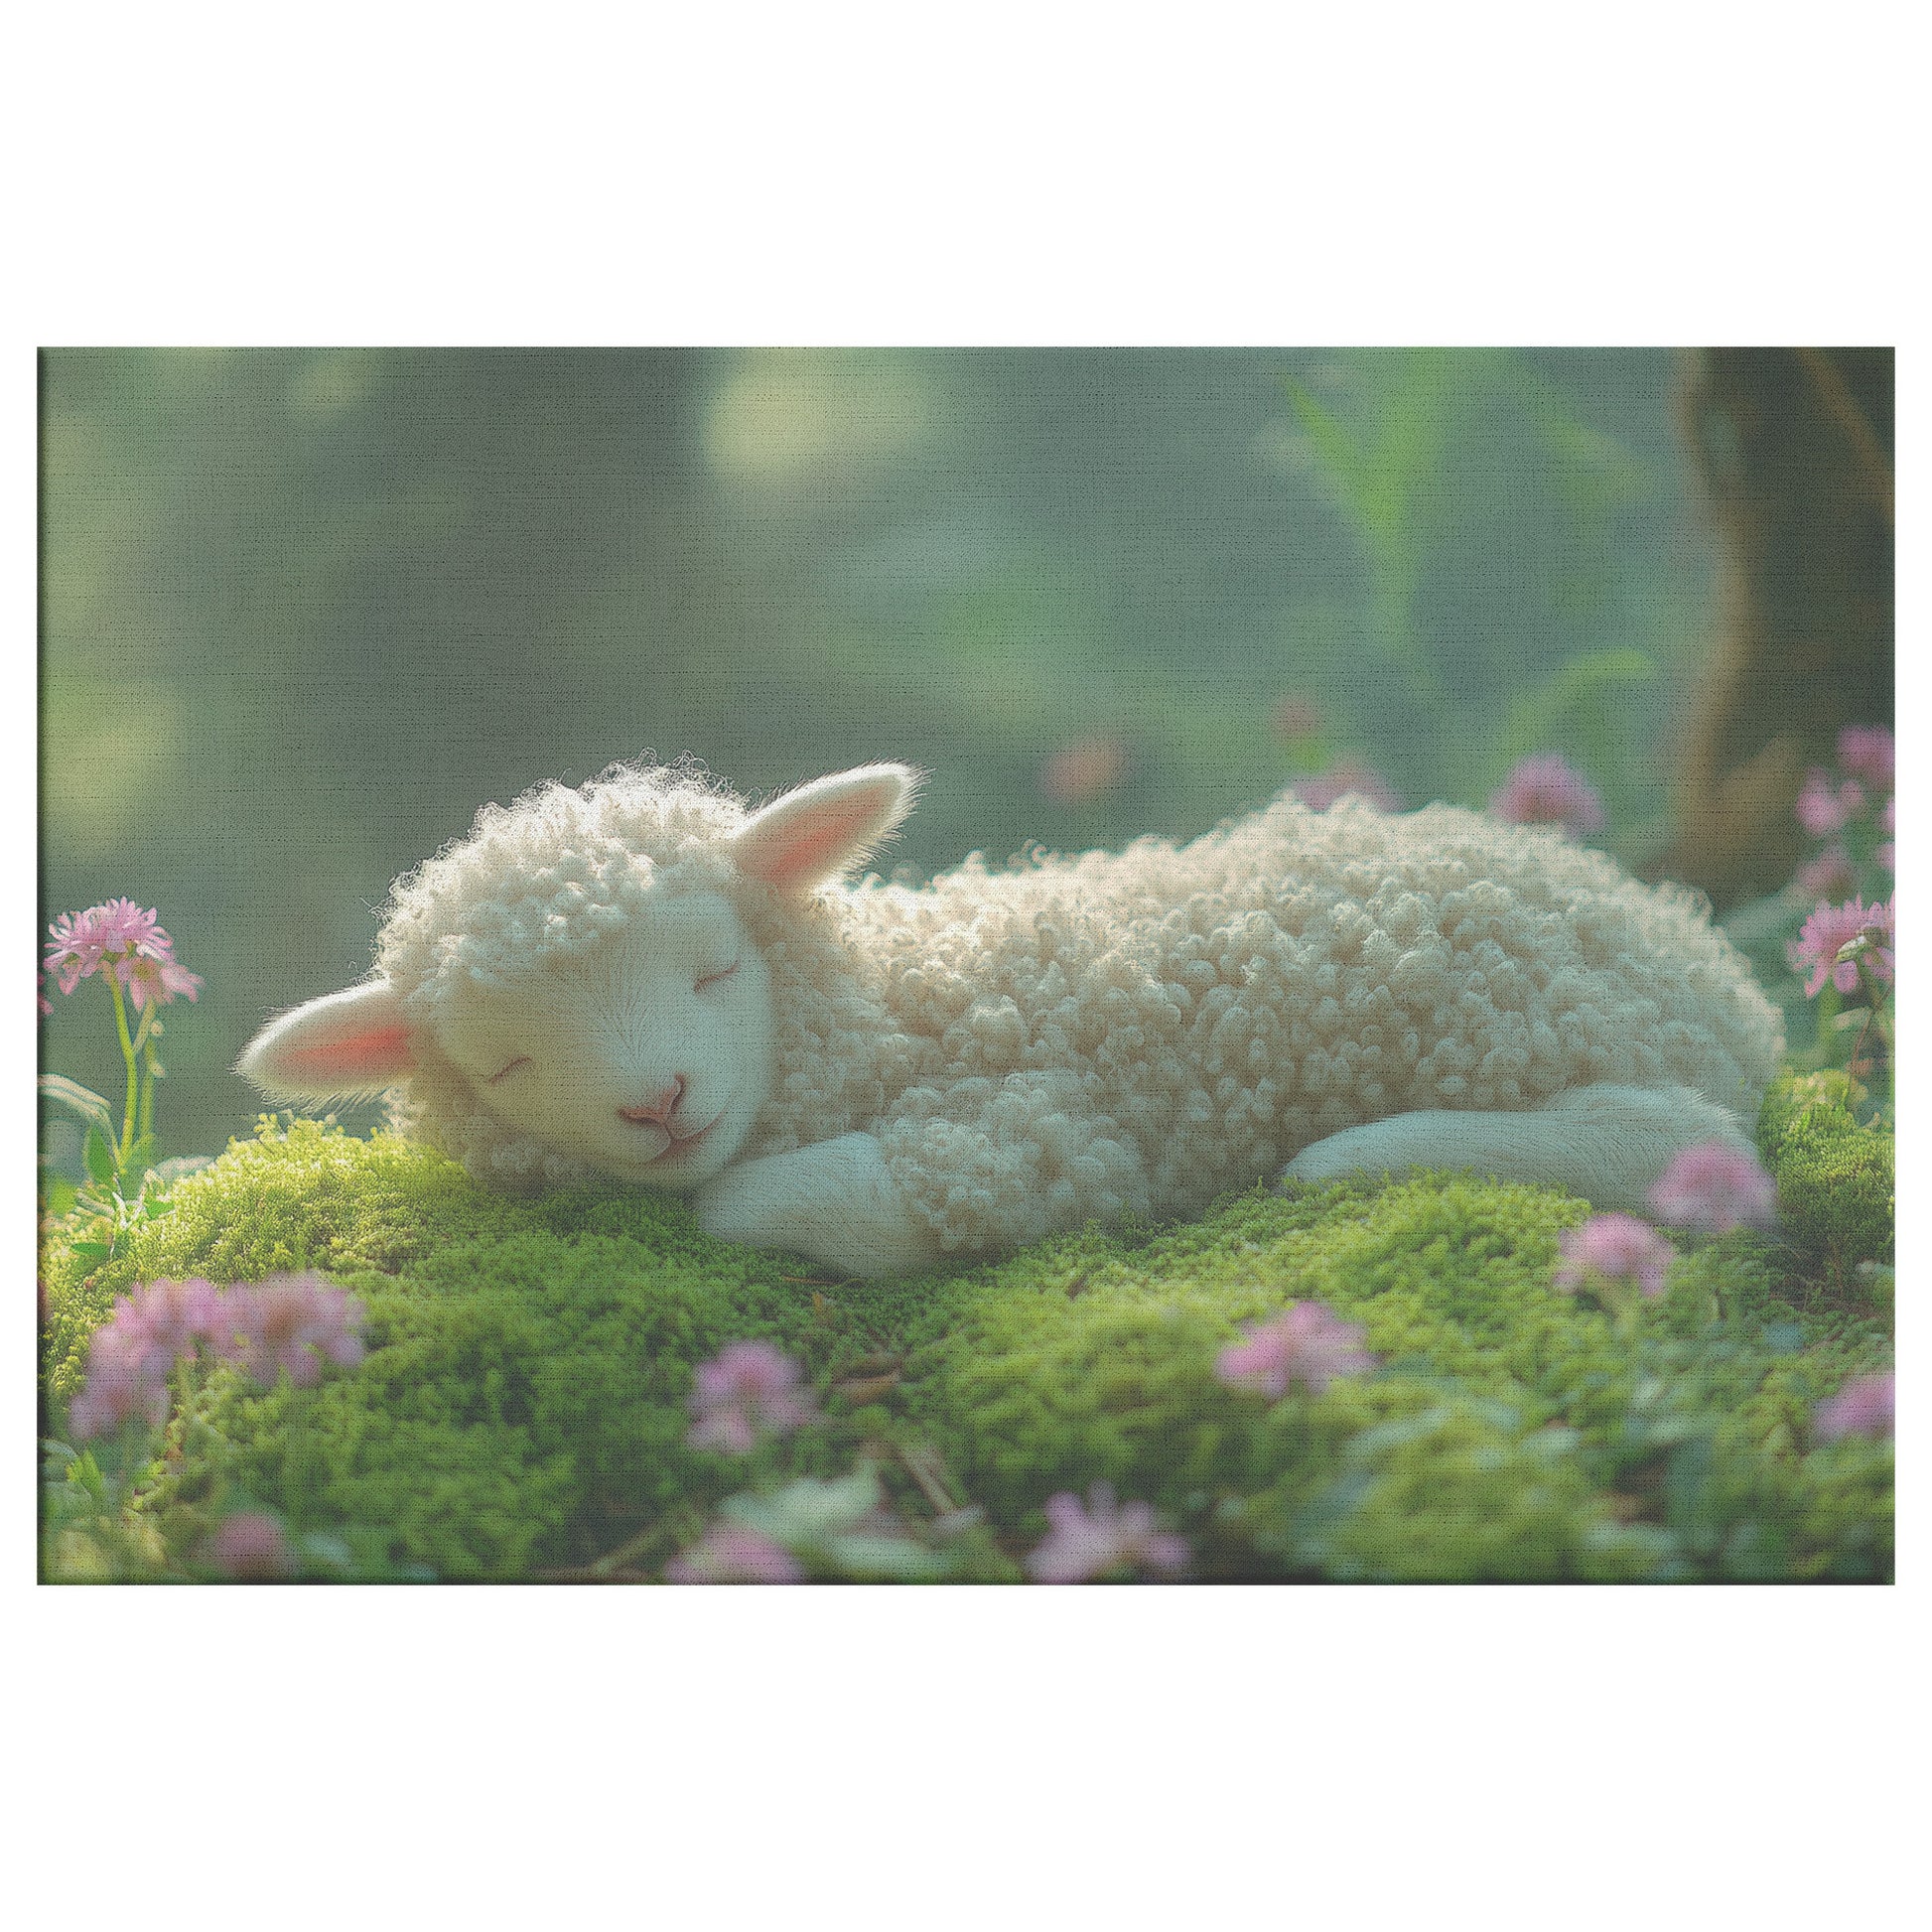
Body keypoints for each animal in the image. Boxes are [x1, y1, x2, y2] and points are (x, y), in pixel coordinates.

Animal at [238, 759, 1785, 1279]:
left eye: (714, 970)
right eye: (503, 1059)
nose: (656, 1101)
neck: (895, 993)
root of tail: (1714, 969)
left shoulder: (1036, 1134)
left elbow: (756, 1203)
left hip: (1570, 1029)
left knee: (1673, 1146)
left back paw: (1350, 1154)